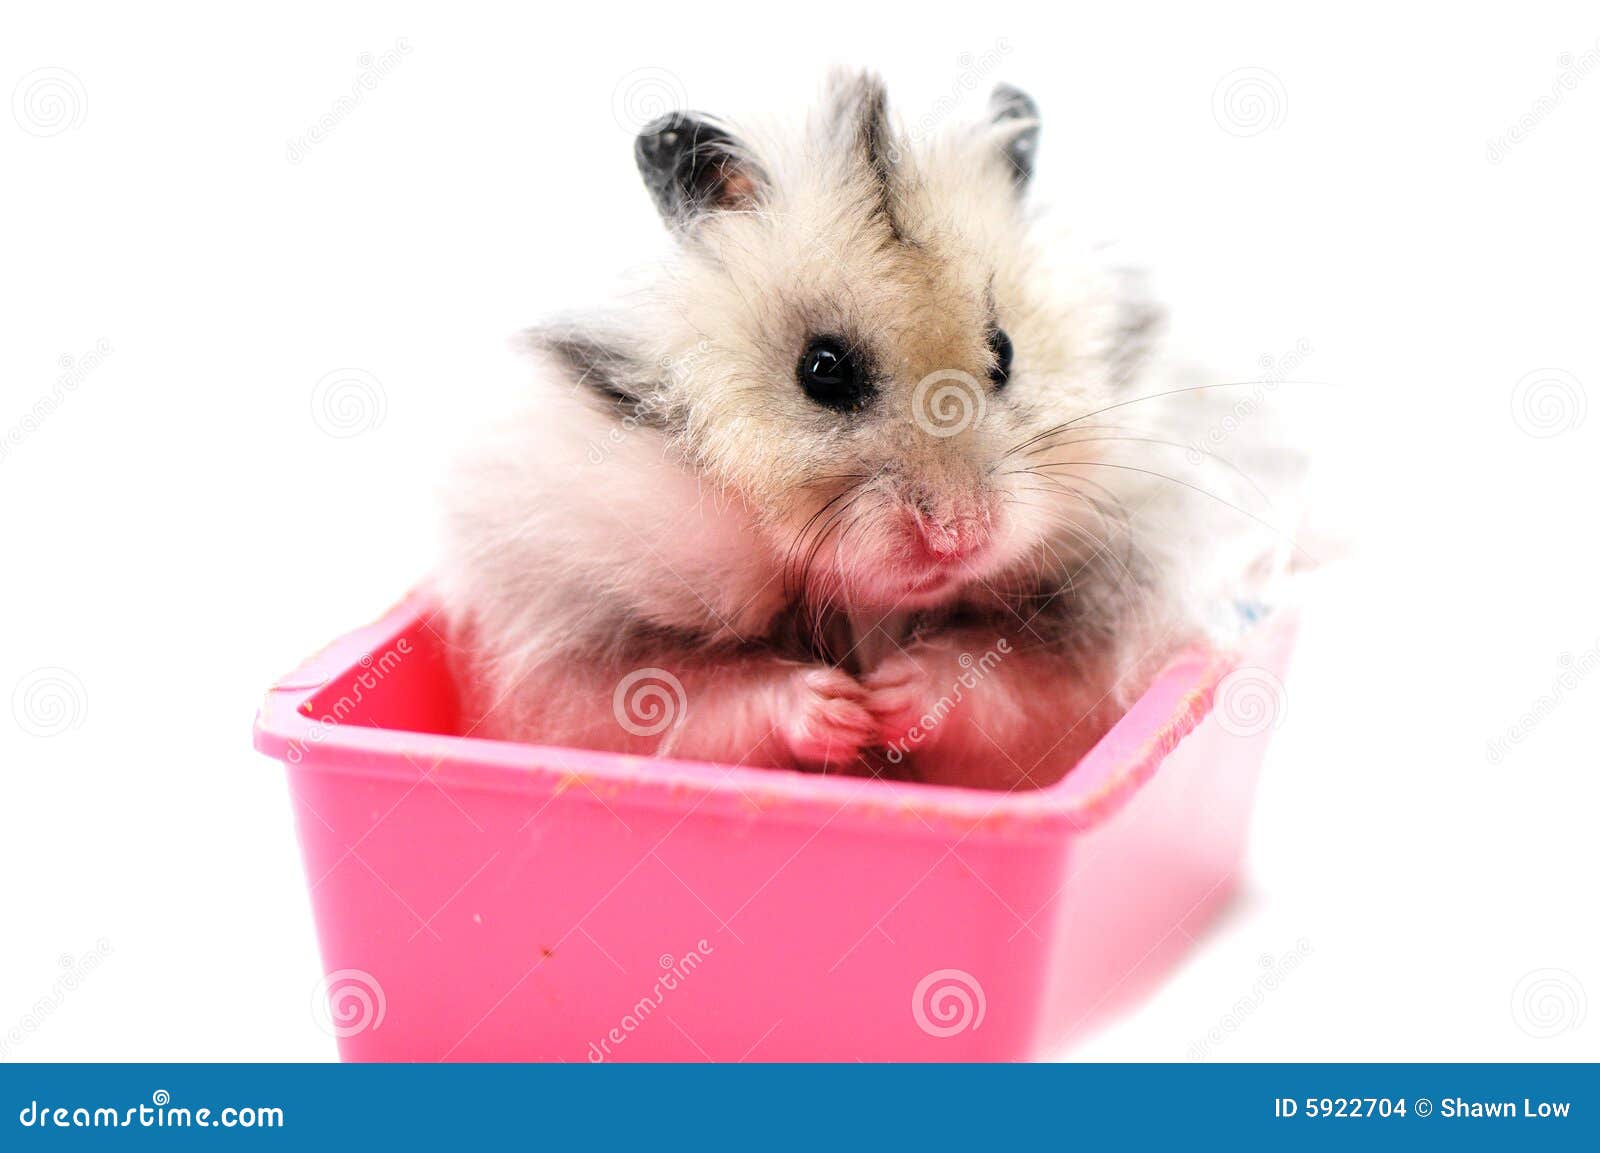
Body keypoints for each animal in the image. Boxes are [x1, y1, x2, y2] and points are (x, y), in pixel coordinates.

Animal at [436, 70, 1300, 791]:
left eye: (1004, 351)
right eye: (822, 370)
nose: (959, 537)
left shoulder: (1097, 626)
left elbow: (1013, 675)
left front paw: (892, 695)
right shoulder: (586, 641)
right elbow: (692, 694)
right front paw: (840, 707)